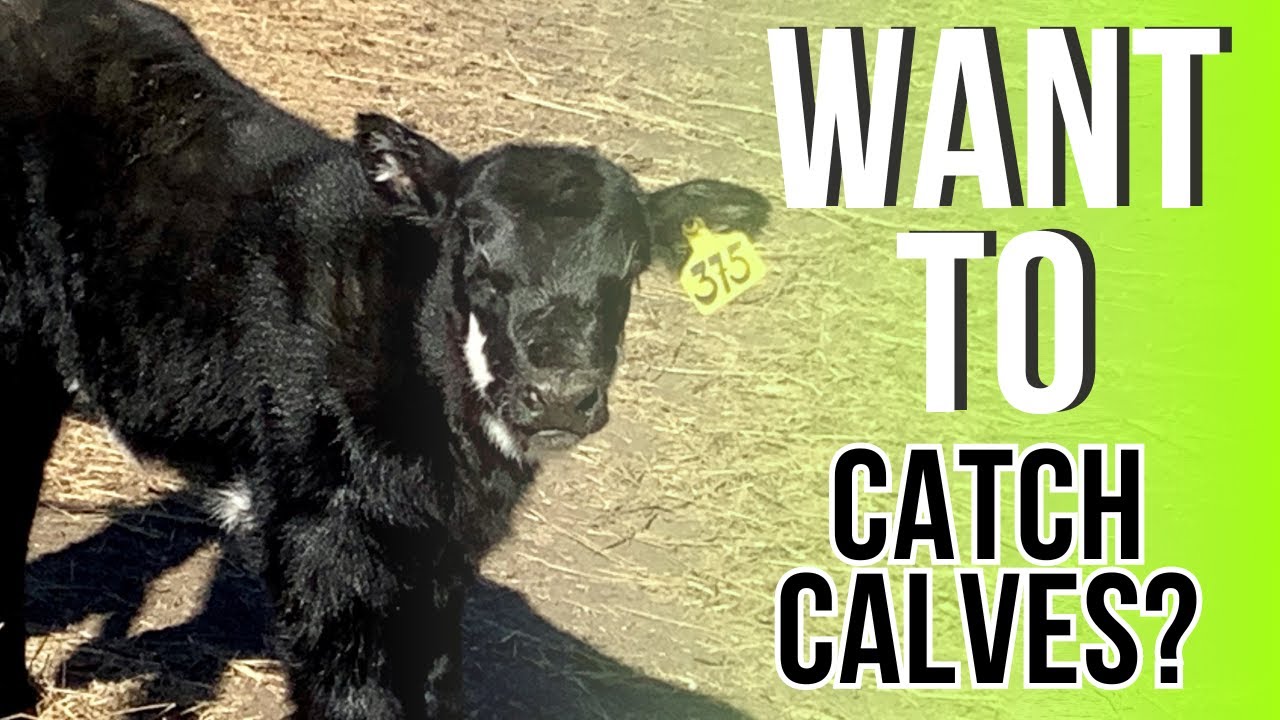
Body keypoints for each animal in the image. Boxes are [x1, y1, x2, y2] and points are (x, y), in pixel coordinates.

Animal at [0, 0, 769, 717]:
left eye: (630, 270)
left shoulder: (441, 556)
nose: (558, 394)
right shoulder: (323, 534)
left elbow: (437, 680)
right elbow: (358, 695)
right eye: (474, 253)